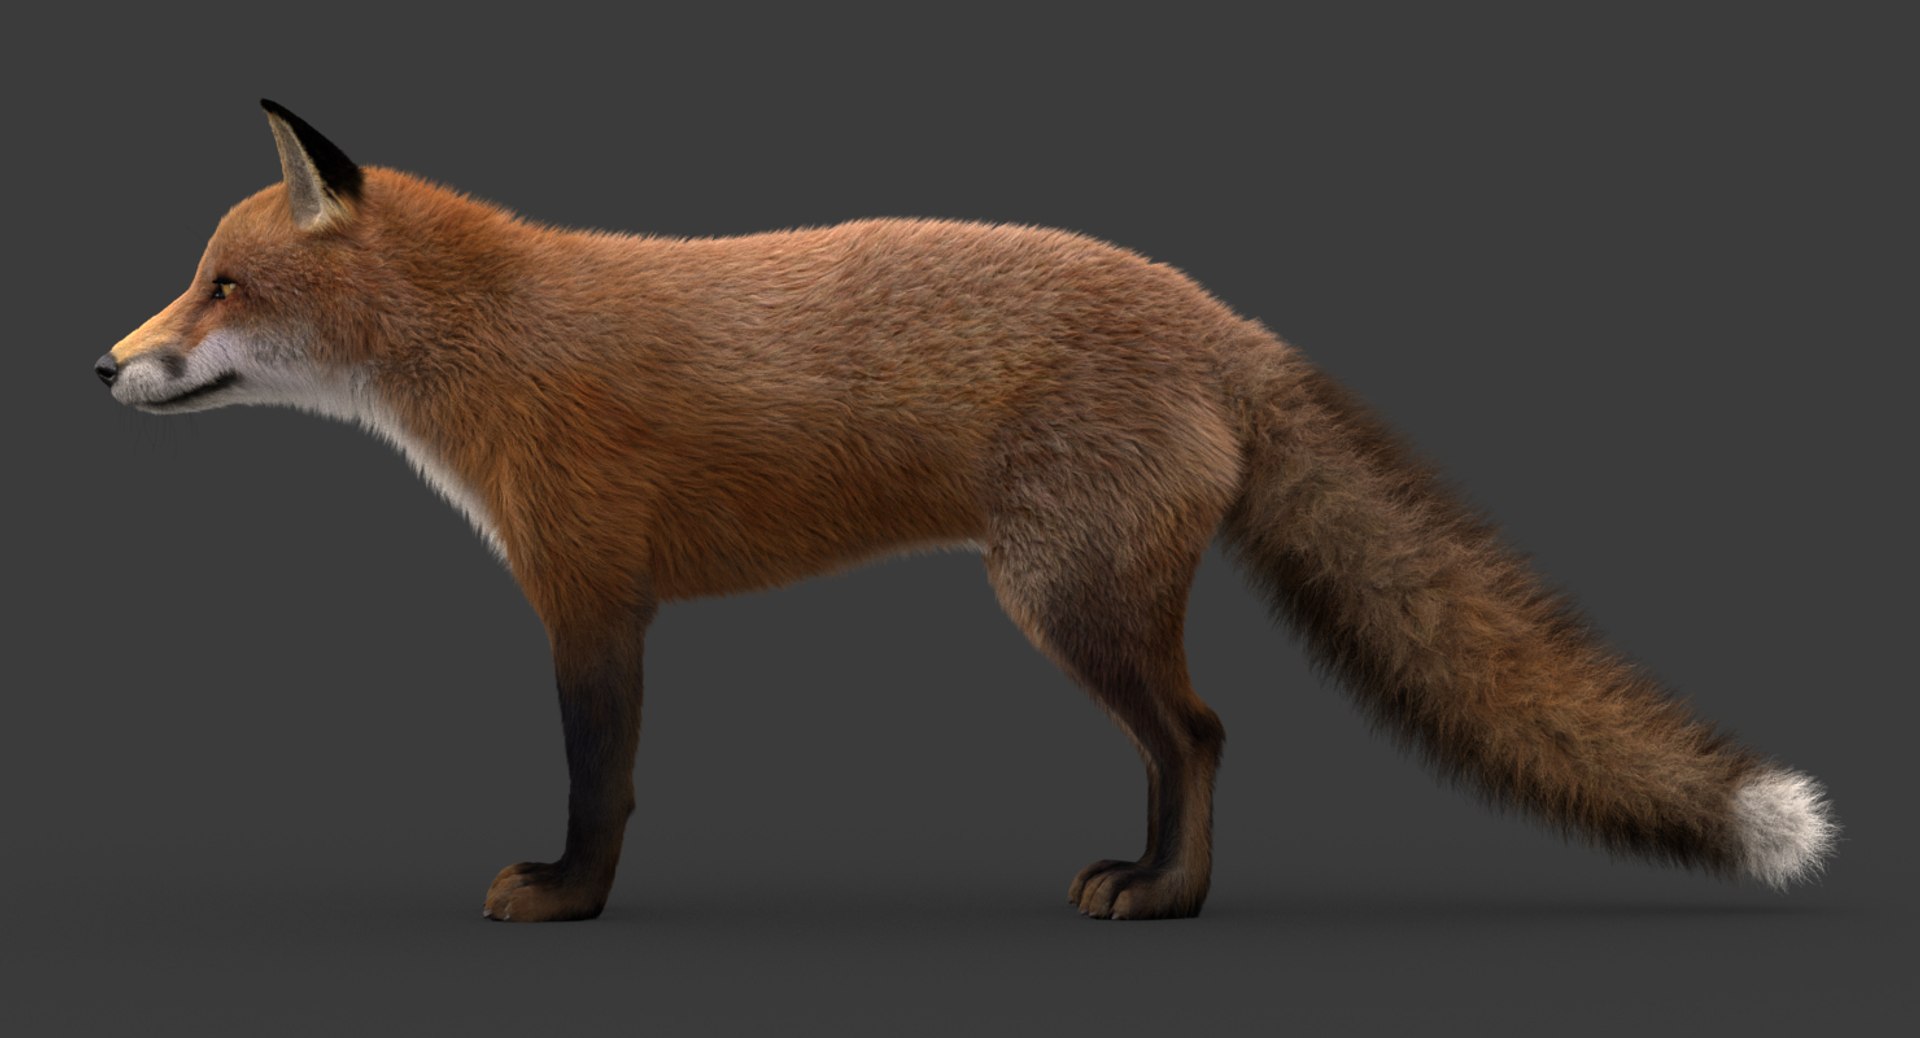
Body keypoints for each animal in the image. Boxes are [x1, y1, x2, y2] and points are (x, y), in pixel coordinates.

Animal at [99, 100, 1836, 922]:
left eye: (222, 282)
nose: (105, 363)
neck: (493, 343)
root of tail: (1221, 318)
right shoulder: (604, 598)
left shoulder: (590, 595)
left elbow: (603, 783)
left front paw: (568, 899)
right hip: (1088, 599)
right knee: (1190, 738)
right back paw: (1150, 877)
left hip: (1062, 595)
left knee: (1201, 734)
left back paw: (1169, 898)